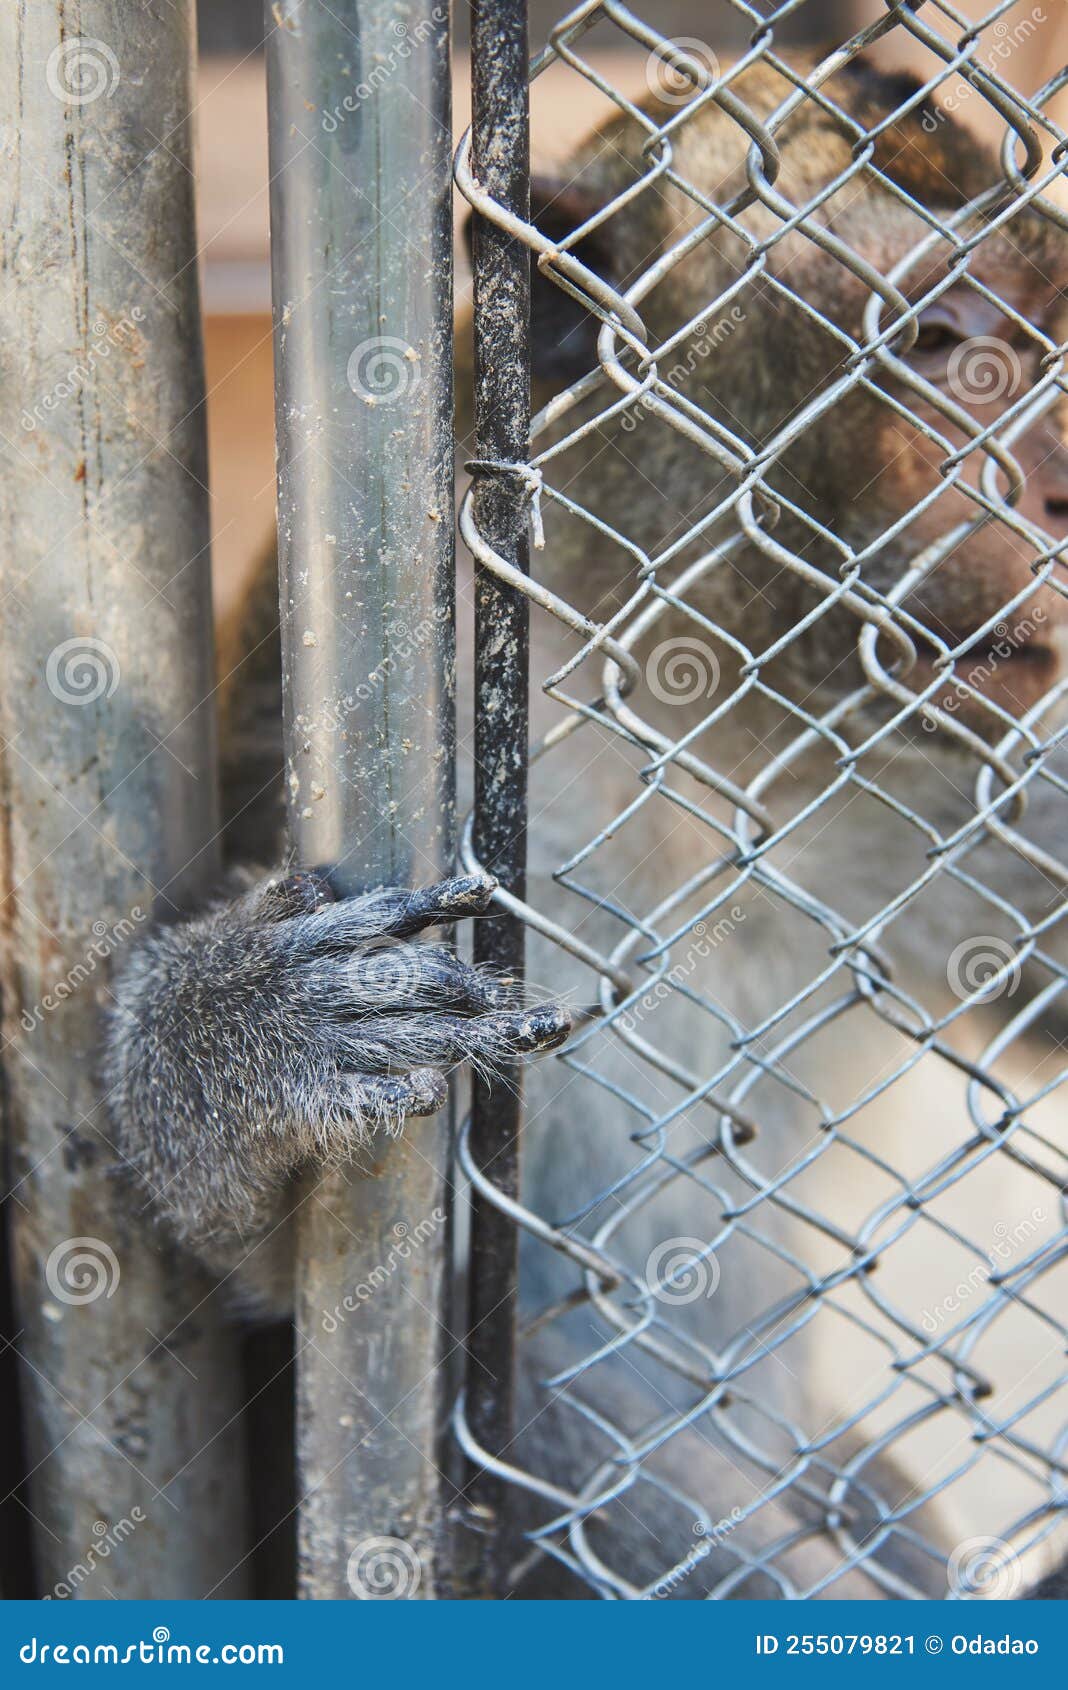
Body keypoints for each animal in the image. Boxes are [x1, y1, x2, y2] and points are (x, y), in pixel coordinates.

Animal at [103, 48, 1068, 1597]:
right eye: (940, 344)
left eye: (1045, 336)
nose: (1059, 485)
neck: (705, 721)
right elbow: (298, 1310)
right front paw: (236, 1033)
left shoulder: (938, 786)